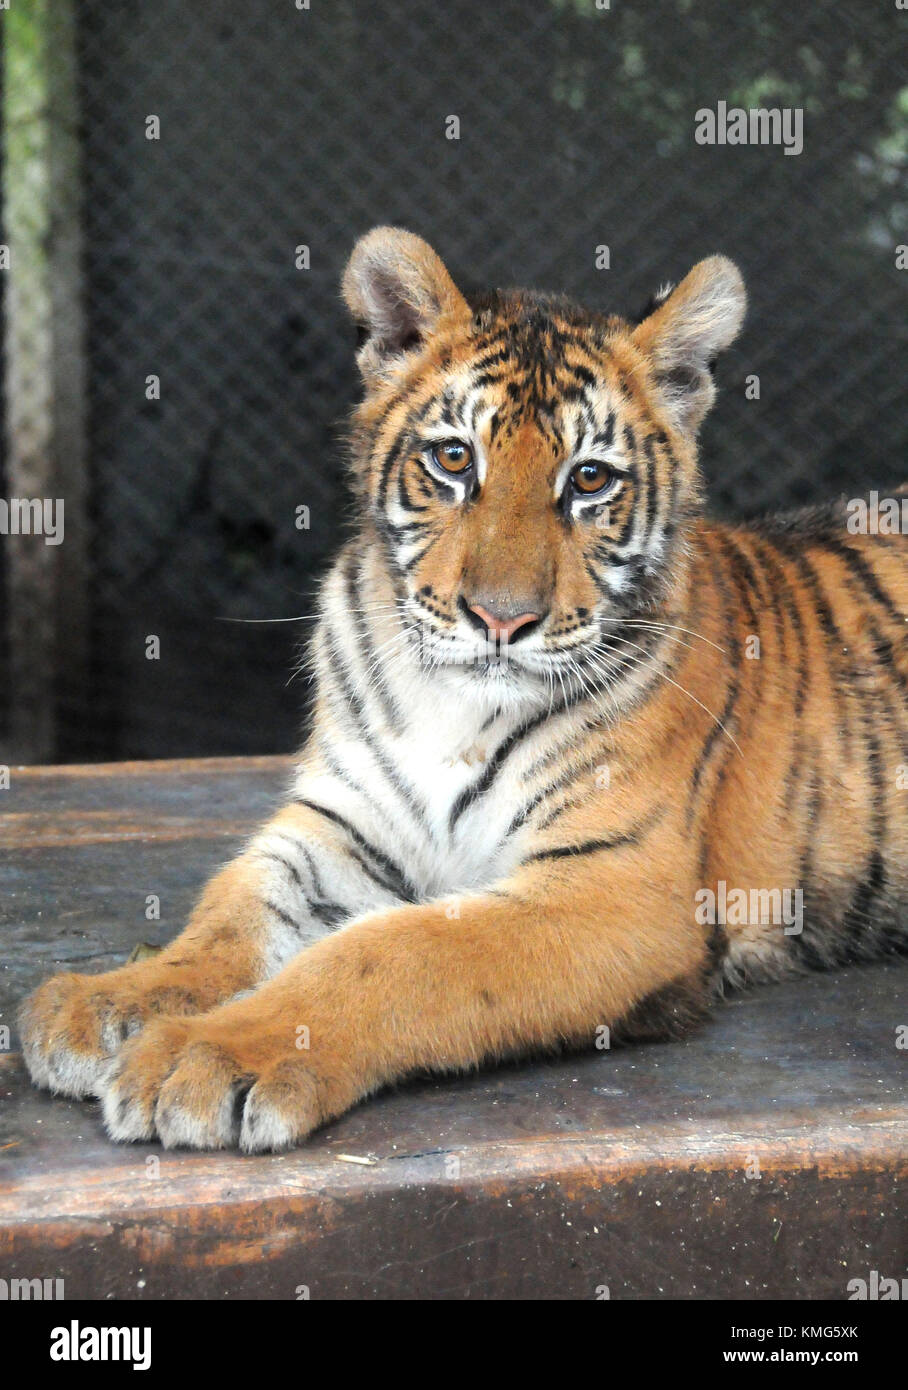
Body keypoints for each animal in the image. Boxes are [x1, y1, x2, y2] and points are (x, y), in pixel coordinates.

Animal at [19, 226, 908, 1152]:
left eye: (590, 480)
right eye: (454, 459)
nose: (501, 618)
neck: (451, 702)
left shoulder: (614, 886)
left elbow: (397, 952)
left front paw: (205, 1057)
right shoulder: (338, 825)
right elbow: (228, 911)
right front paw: (106, 1002)